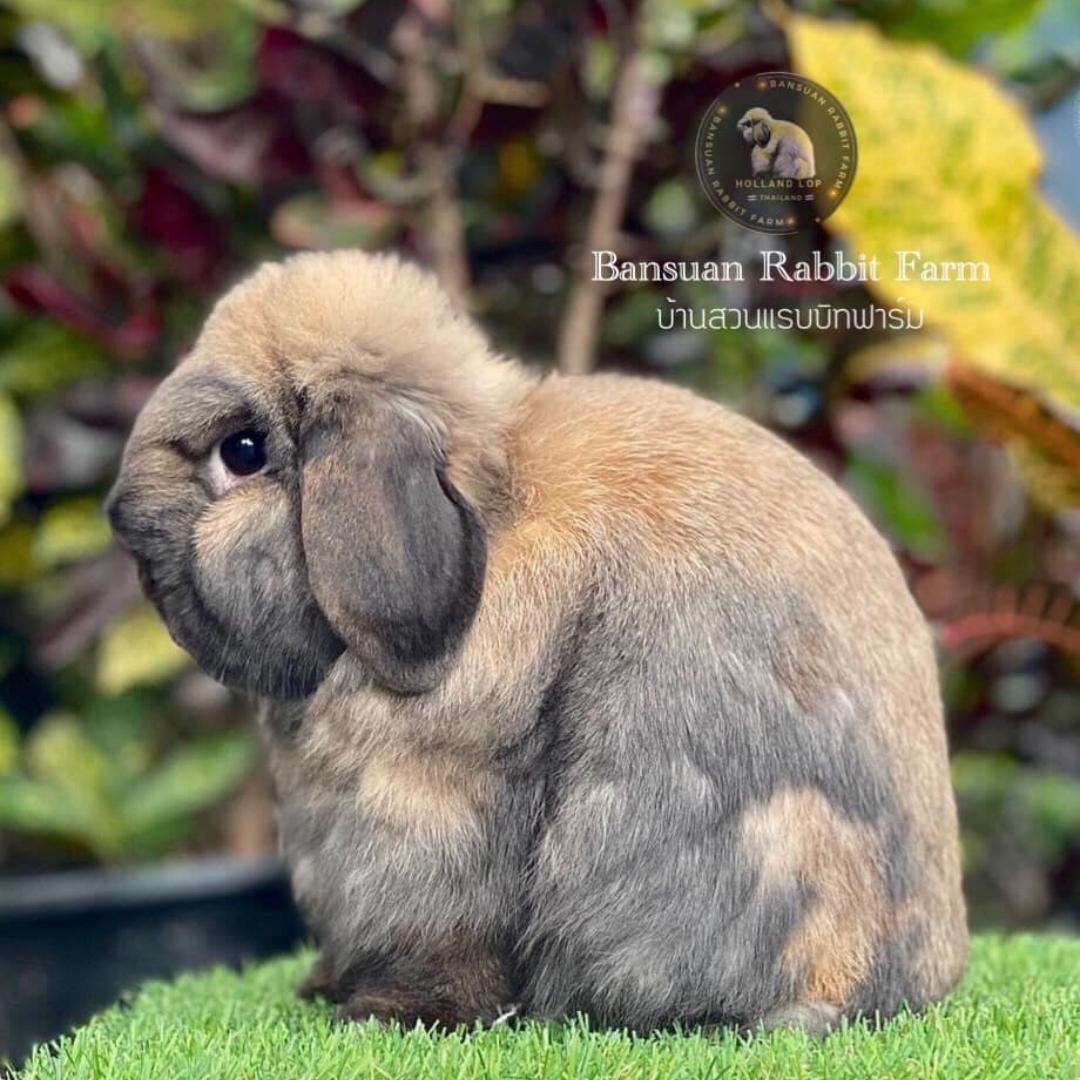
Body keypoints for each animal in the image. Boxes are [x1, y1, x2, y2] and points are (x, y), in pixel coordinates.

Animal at [107, 250, 968, 1034]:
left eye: (242, 452)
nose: (119, 516)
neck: (489, 511)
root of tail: (897, 989)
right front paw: (323, 986)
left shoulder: (424, 806)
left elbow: (438, 926)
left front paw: (385, 1014)